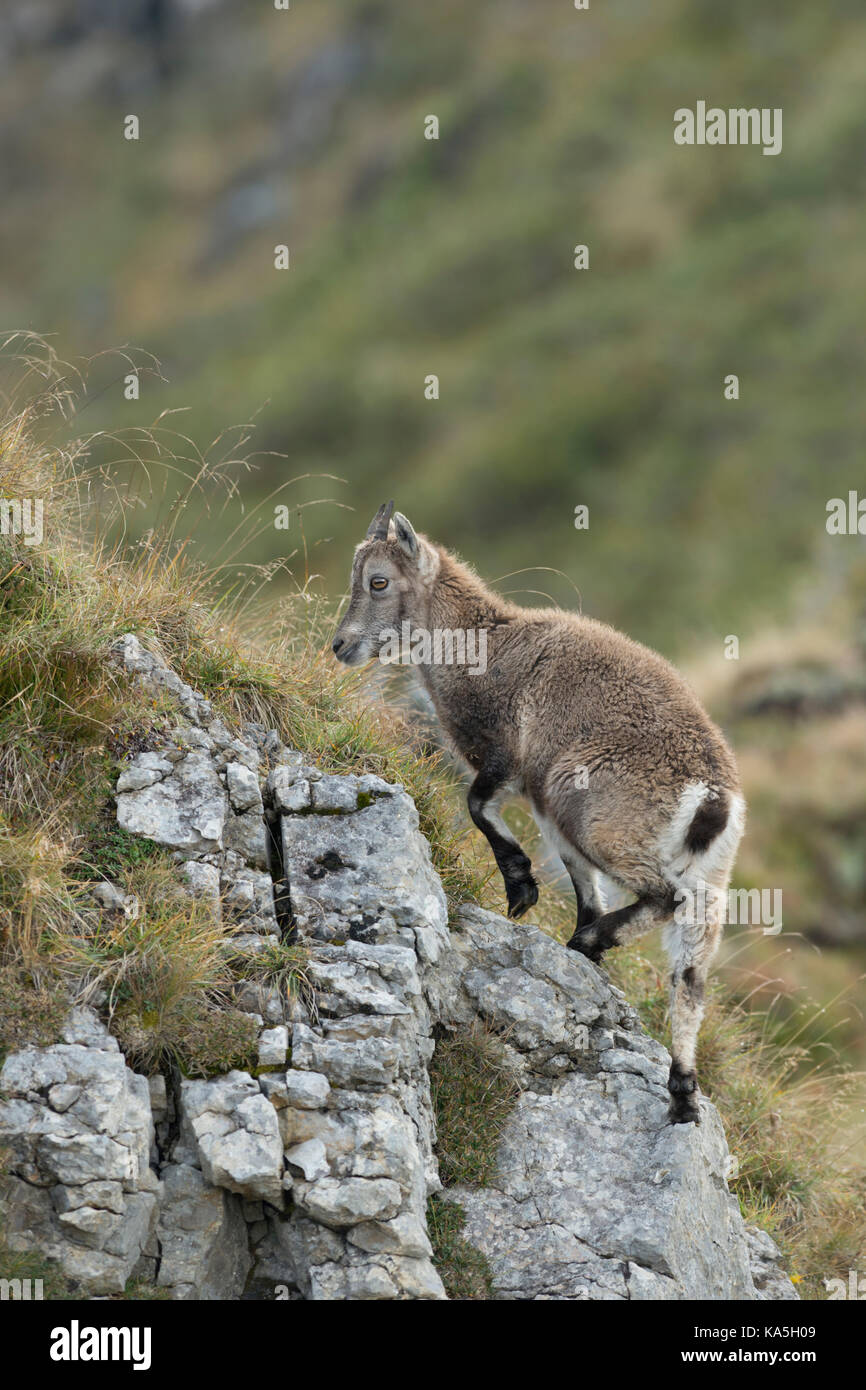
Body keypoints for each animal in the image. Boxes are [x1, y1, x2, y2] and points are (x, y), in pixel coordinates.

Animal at [332, 502, 746, 1123]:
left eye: (378, 581)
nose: (340, 646)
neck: (482, 643)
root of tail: (711, 799)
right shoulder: (543, 807)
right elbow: (582, 884)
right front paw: (566, 926)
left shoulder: (510, 759)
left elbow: (477, 805)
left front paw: (522, 887)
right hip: (709, 880)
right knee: (690, 977)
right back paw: (680, 1089)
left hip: (600, 817)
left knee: (662, 897)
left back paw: (593, 944)